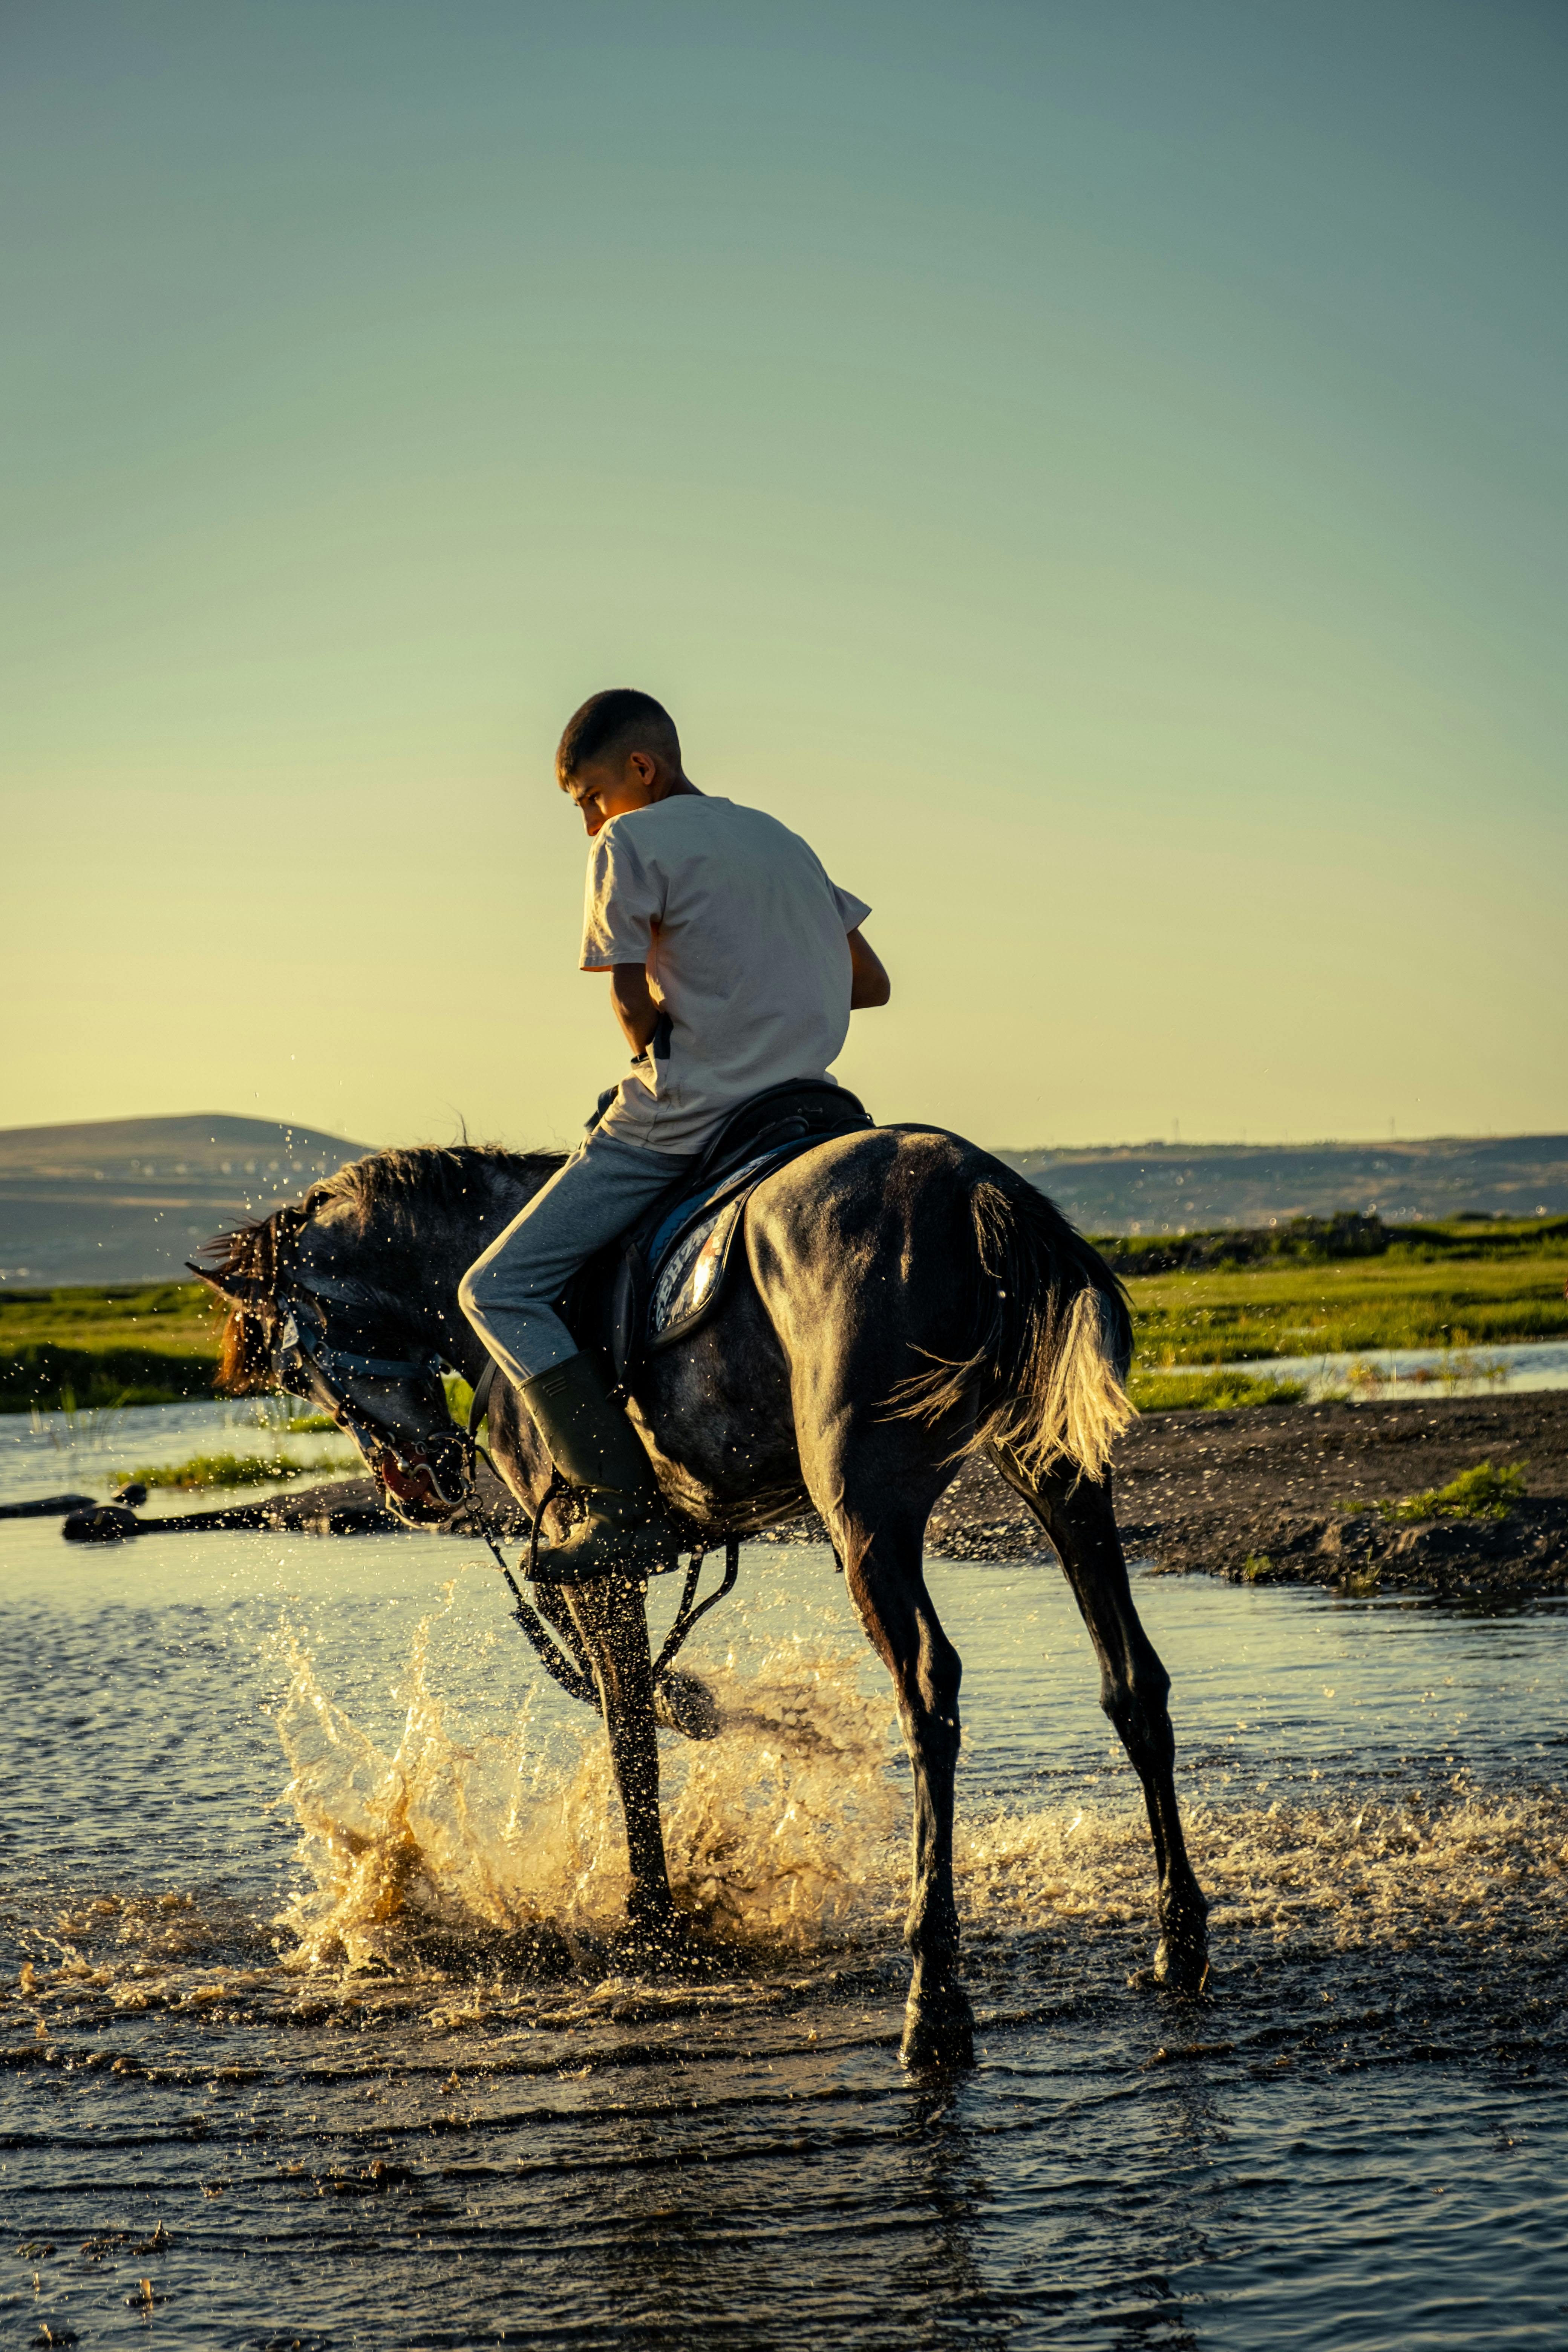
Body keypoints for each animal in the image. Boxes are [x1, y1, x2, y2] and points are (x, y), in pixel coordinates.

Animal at [196, 1127, 1209, 2065]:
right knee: (1133, 1683)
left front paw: (651, 1925)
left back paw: (933, 2002)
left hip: (866, 1511)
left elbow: (626, 1739)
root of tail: (974, 1186)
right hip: (1055, 1472)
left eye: (294, 1368)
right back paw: (1178, 1942)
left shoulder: (597, 1560)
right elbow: (639, 1701)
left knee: (928, 1697)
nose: (415, 1491)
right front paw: (705, 1714)